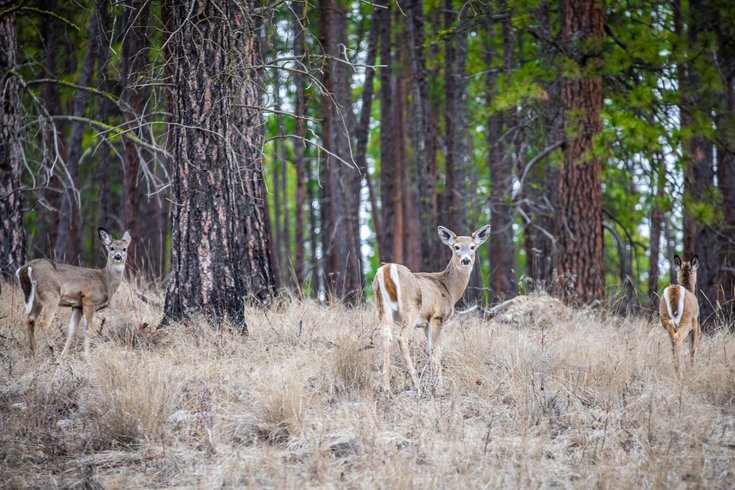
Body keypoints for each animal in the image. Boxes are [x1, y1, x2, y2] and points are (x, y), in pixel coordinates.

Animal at [15, 228, 131, 359]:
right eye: (111, 248)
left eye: (124, 248)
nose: (118, 256)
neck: (106, 281)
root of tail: (25, 269)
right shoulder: (89, 300)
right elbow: (88, 329)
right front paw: (87, 355)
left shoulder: (77, 305)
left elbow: (72, 330)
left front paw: (64, 354)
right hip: (51, 294)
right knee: (44, 322)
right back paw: (53, 351)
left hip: (37, 298)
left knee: (30, 319)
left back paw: (36, 354)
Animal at [373, 225, 491, 394]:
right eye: (456, 247)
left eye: (473, 247)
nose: (466, 260)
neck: (449, 289)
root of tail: (388, 269)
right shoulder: (437, 316)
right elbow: (435, 349)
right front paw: (438, 388)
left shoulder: (425, 323)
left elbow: (435, 350)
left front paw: (438, 384)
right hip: (412, 307)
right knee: (402, 338)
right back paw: (417, 386)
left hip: (381, 306)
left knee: (386, 337)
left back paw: (386, 388)